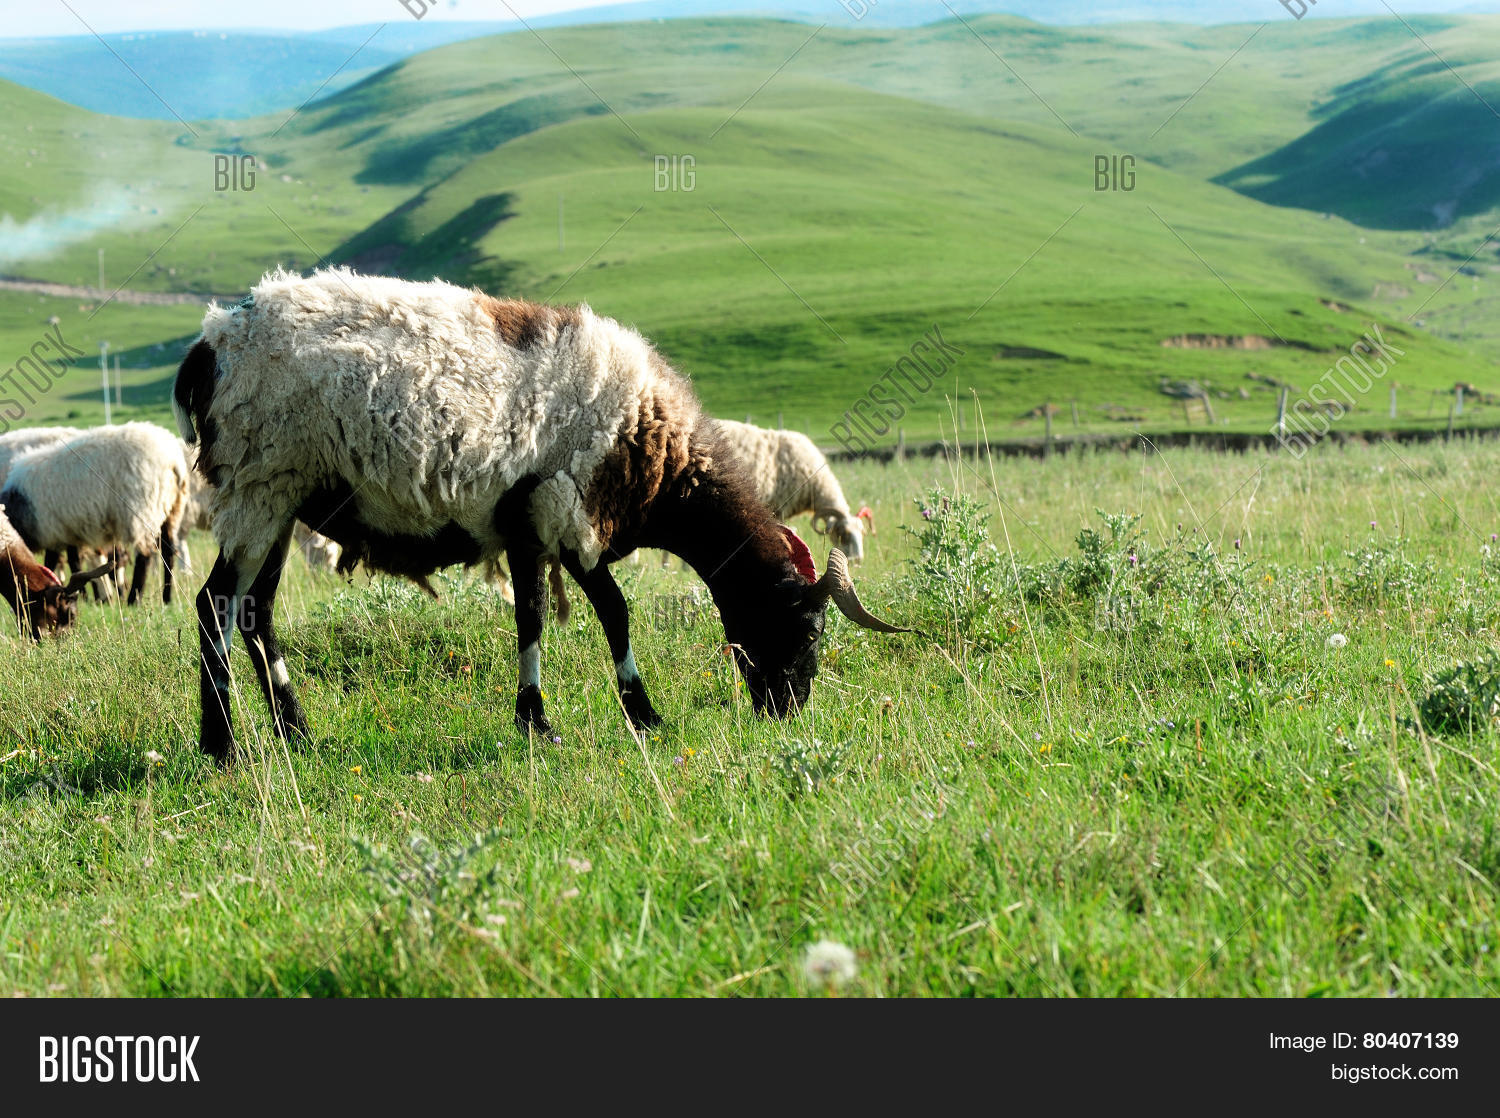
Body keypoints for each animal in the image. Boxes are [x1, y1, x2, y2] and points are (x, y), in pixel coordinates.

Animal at [0, 422, 189, 606]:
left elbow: (61, 562)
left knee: (145, 556)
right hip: (172, 509)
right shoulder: (68, 531)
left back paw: (133, 600)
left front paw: (82, 596)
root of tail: (174, 461)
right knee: (168, 552)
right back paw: (167, 598)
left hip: (141, 509)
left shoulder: (55, 530)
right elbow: (72, 561)